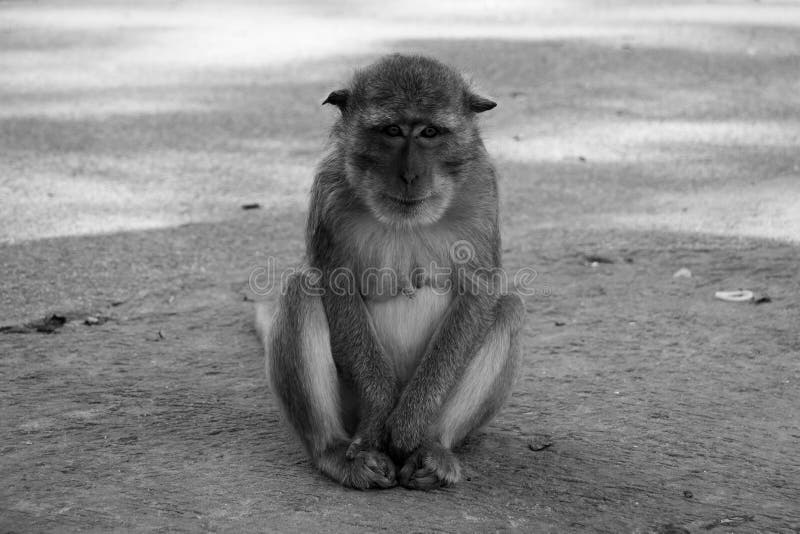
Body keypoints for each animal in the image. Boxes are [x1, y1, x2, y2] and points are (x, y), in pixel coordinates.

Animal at [255, 54, 524, 490]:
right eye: (392, 131)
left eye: (430, 132)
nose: (410, 175)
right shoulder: (328, 191)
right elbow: (336, 285)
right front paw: (383, 414)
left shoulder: (483, 189)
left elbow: (478, 290)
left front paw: (410, 425)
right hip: (350, 412)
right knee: (301, 291)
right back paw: (334, 452)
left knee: (508, 308)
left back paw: (433, 448)